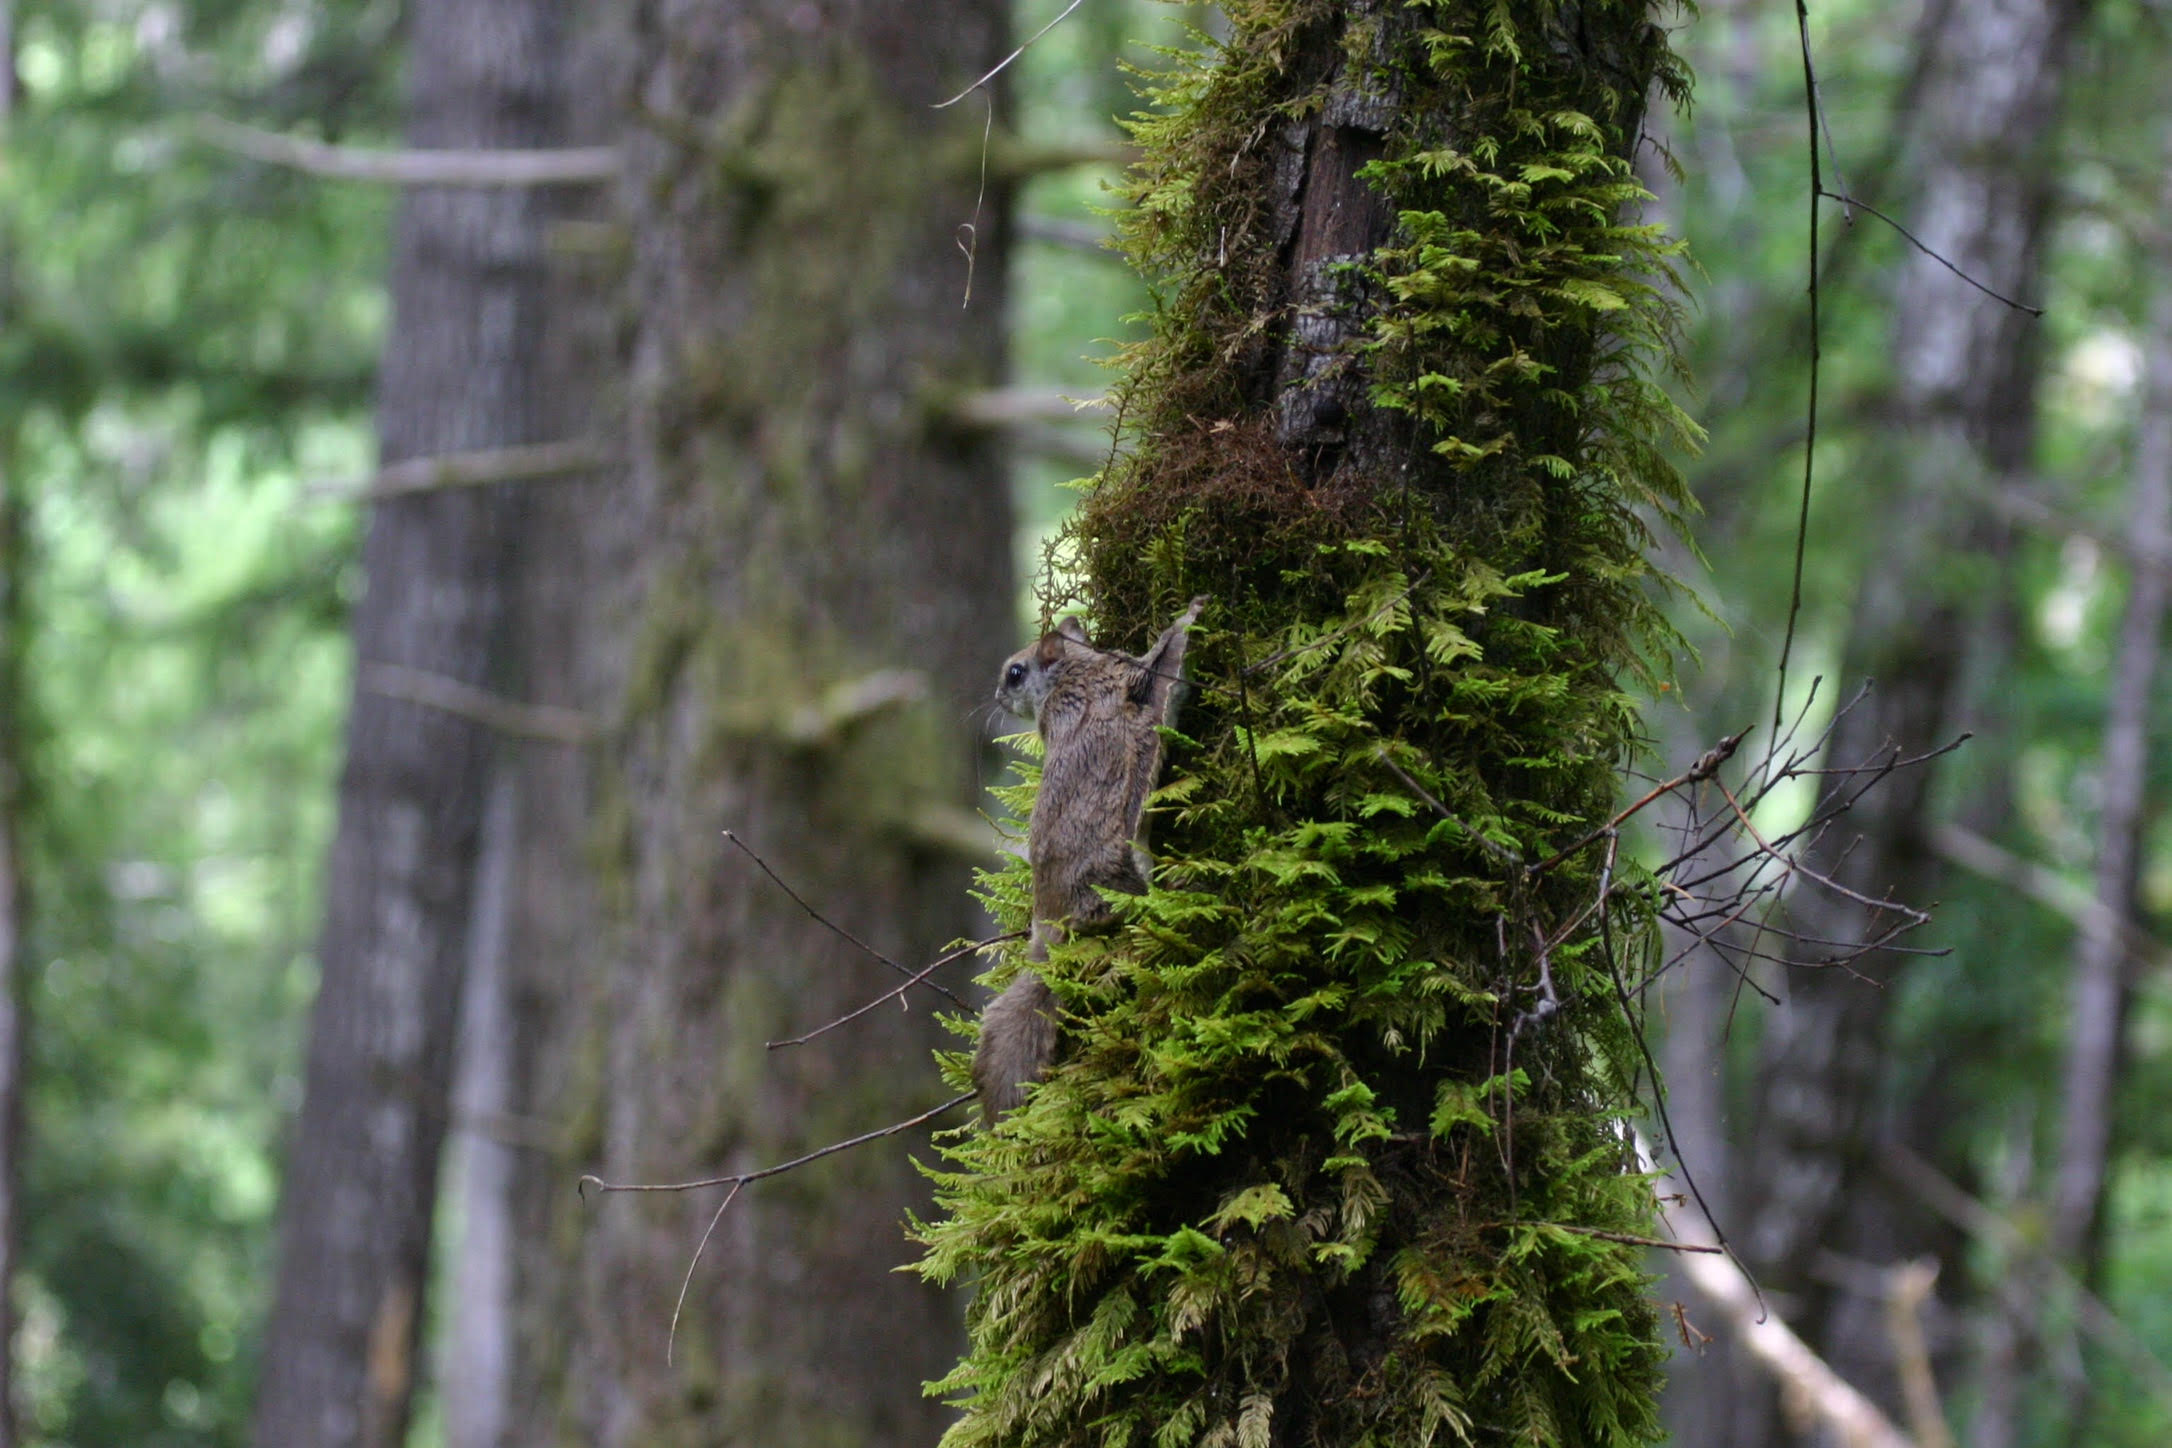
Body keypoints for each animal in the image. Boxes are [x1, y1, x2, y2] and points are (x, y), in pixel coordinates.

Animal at [970, 597, 1208, 1122]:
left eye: (1014, 672)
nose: (997, 697)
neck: (1075, 672)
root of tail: (1050, 925)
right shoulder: (1132, 681)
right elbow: (1164, 659)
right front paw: (1190, 616)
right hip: (1115, 876)